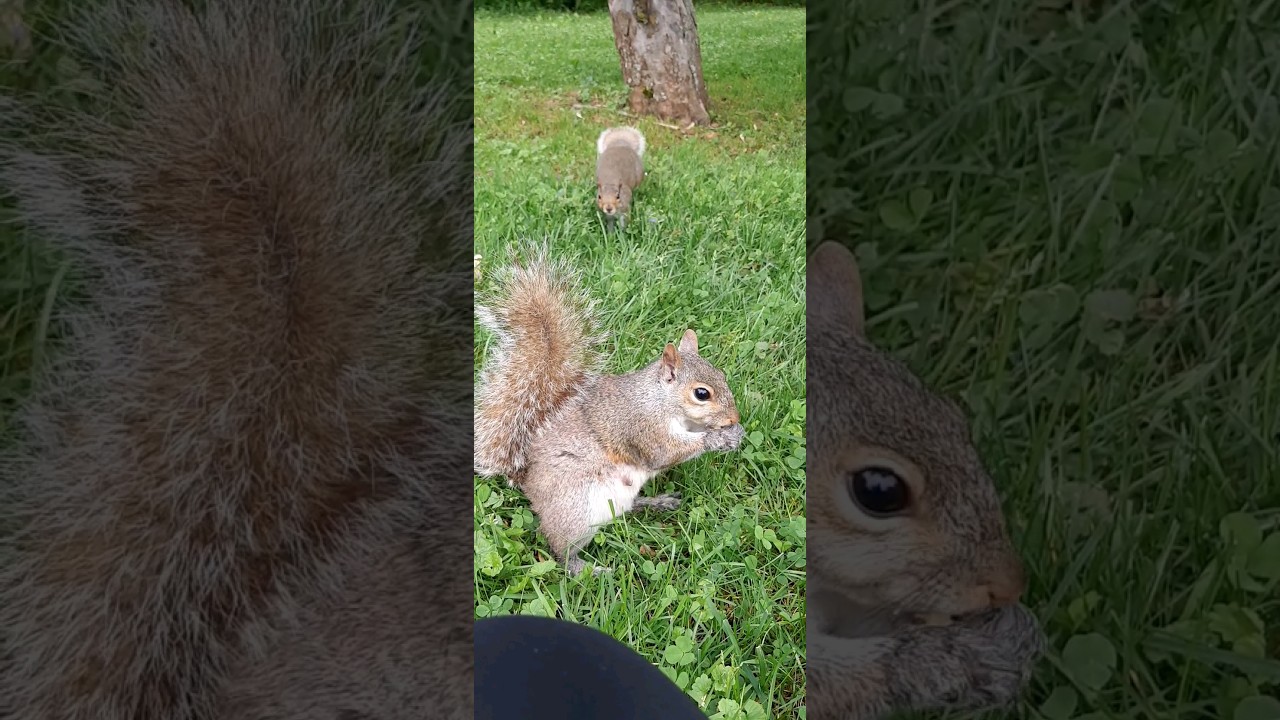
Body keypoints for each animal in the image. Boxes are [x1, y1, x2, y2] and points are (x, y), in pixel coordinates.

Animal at [473, 247, 746, 575]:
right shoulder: (640, 426)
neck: (658, 399)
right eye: (701, 393)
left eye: (722, 374)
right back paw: (589, 569)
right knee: (561, 552)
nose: (734, 417)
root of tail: (527, 480)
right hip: (576, 512)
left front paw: (733, 433)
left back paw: (656, 502)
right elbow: (665, 452)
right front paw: (717, 439)